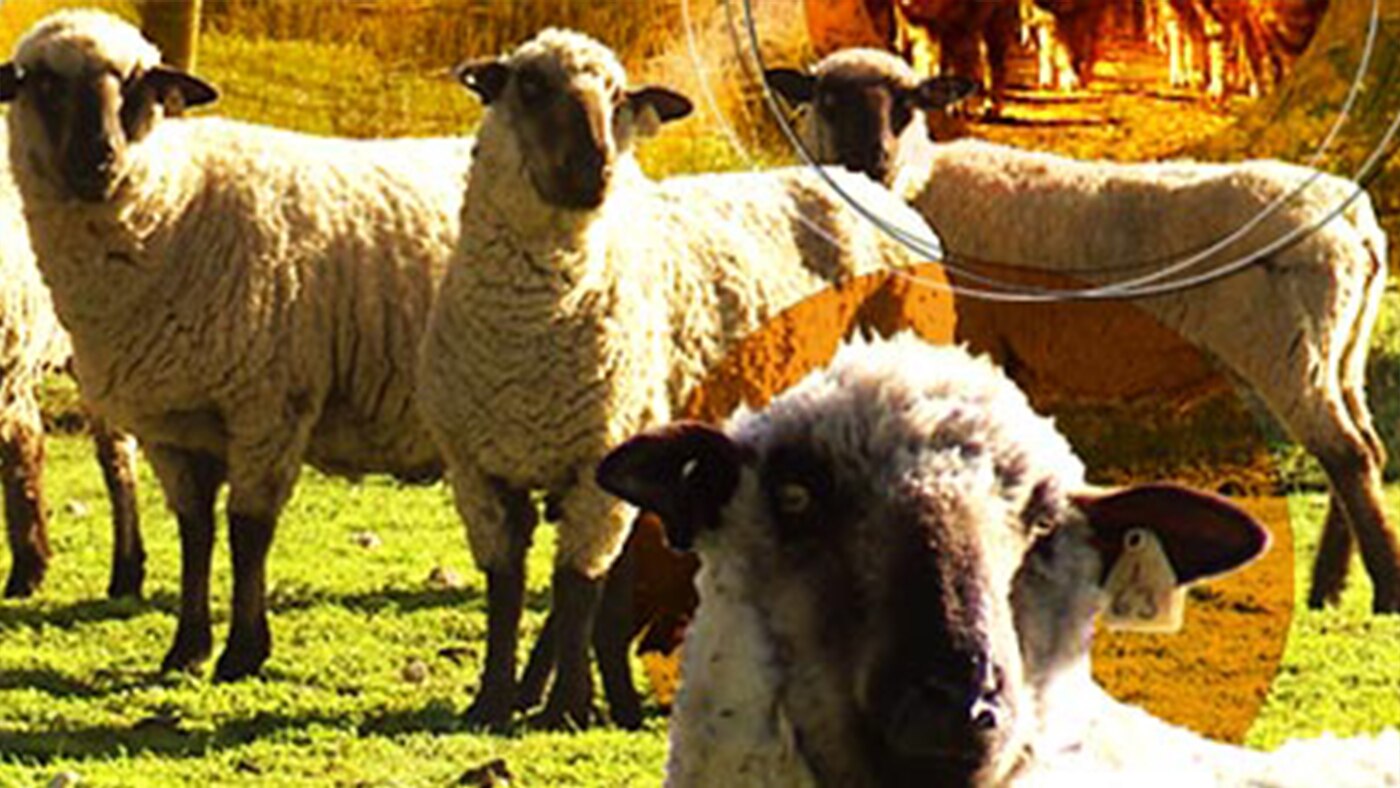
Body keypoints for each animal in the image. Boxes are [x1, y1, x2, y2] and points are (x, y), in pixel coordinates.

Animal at [417, 27, 942, 731]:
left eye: (617, 96)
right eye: (528, 85)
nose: (595, 171)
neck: (532, 330)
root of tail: (862, 184)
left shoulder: (596, 461)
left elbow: (576, 586)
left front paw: (566, 706)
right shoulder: (479, 472)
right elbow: (508, 590)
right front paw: (496, 700)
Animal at [763, 48, 1399, 614]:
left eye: (907, 106)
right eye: (827, 101)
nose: (868, 160)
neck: (918, 186)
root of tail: (1350, 217)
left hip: (1286, 352)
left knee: (1346, 455)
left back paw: (1380, 590)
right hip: (1341, 351)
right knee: (1366, 447)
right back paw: (1329, 589)